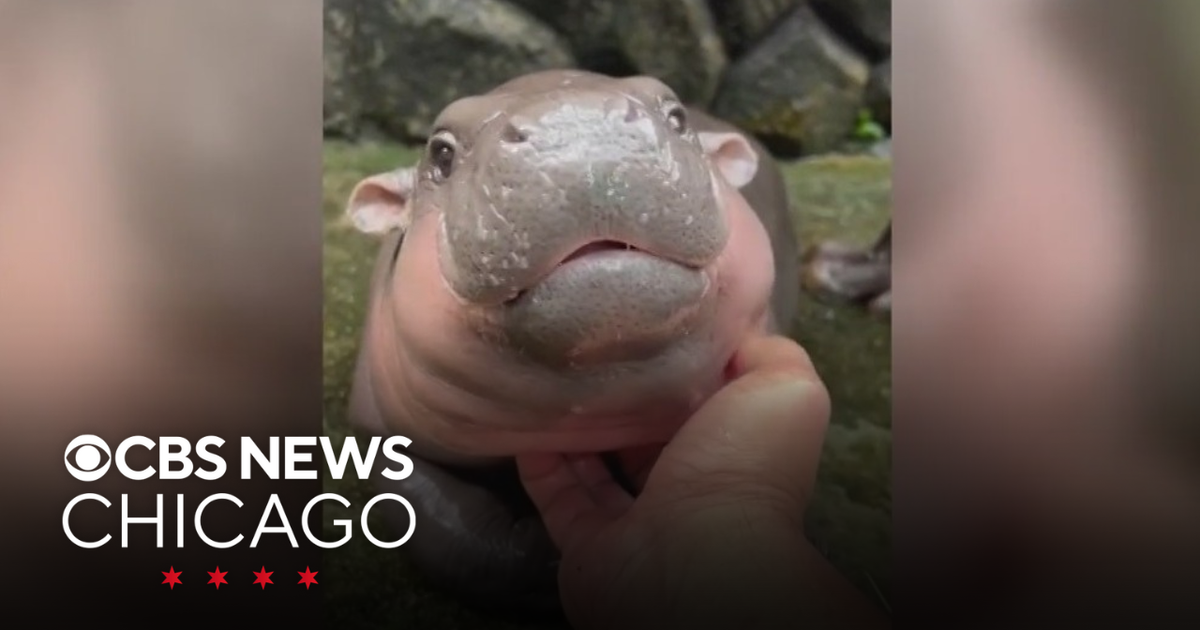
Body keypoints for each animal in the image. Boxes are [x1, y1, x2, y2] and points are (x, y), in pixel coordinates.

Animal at [342, 69, 800, 615]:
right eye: (441, 152)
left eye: (677, 116)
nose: (576, 123)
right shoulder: (378, 435)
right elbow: (436, 524)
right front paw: (544, 551)